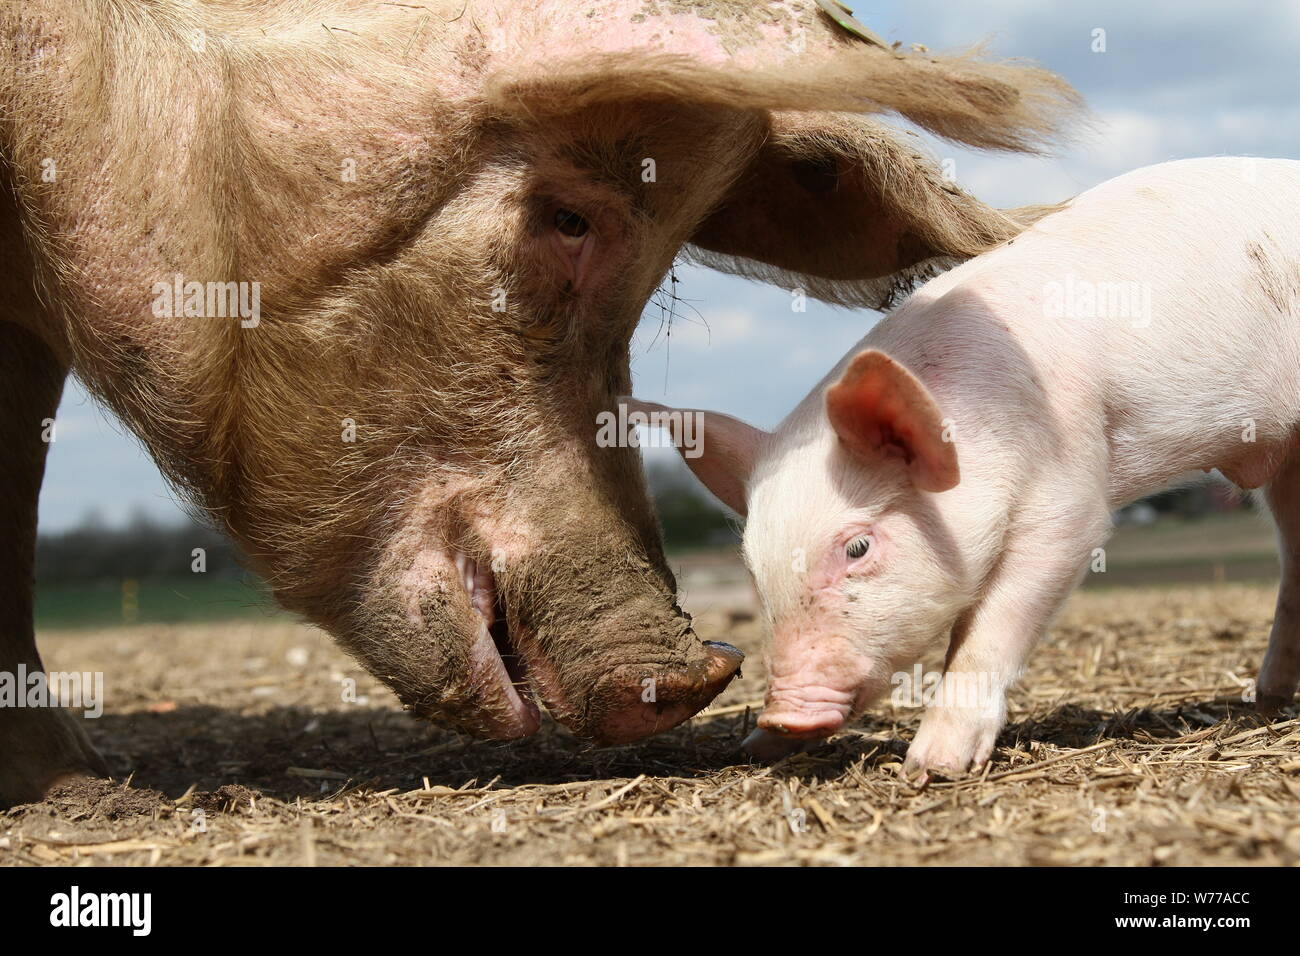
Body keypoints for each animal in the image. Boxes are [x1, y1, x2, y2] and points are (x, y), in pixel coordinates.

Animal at [644, 157, 1300, 780]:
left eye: (857, 547)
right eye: (752, 565)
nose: (786, 712)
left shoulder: (1067, 492)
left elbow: (990, 625)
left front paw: (930, 766)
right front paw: (756, 748)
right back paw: (1267, 702)